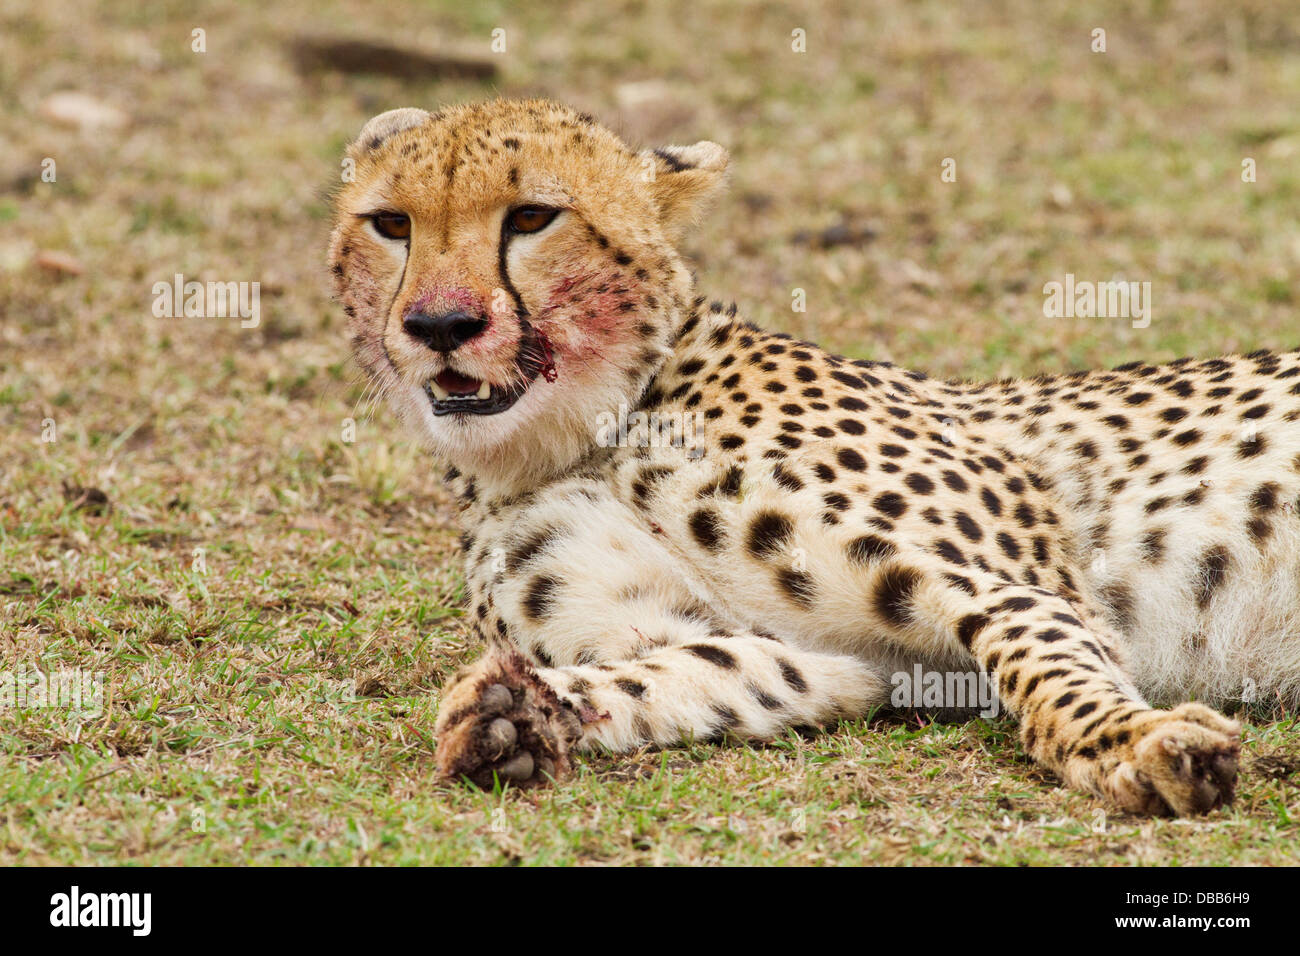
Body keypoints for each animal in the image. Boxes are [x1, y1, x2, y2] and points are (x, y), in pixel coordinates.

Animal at [329, 98, 1300, 817]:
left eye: (532, 217)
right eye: (391, 225)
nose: (441, 324)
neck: (582, 435)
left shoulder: (1016, 587)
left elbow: (1043, 663)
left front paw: (1132, 745)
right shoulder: (833, 659)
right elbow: (684, 674)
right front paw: (521, 715)